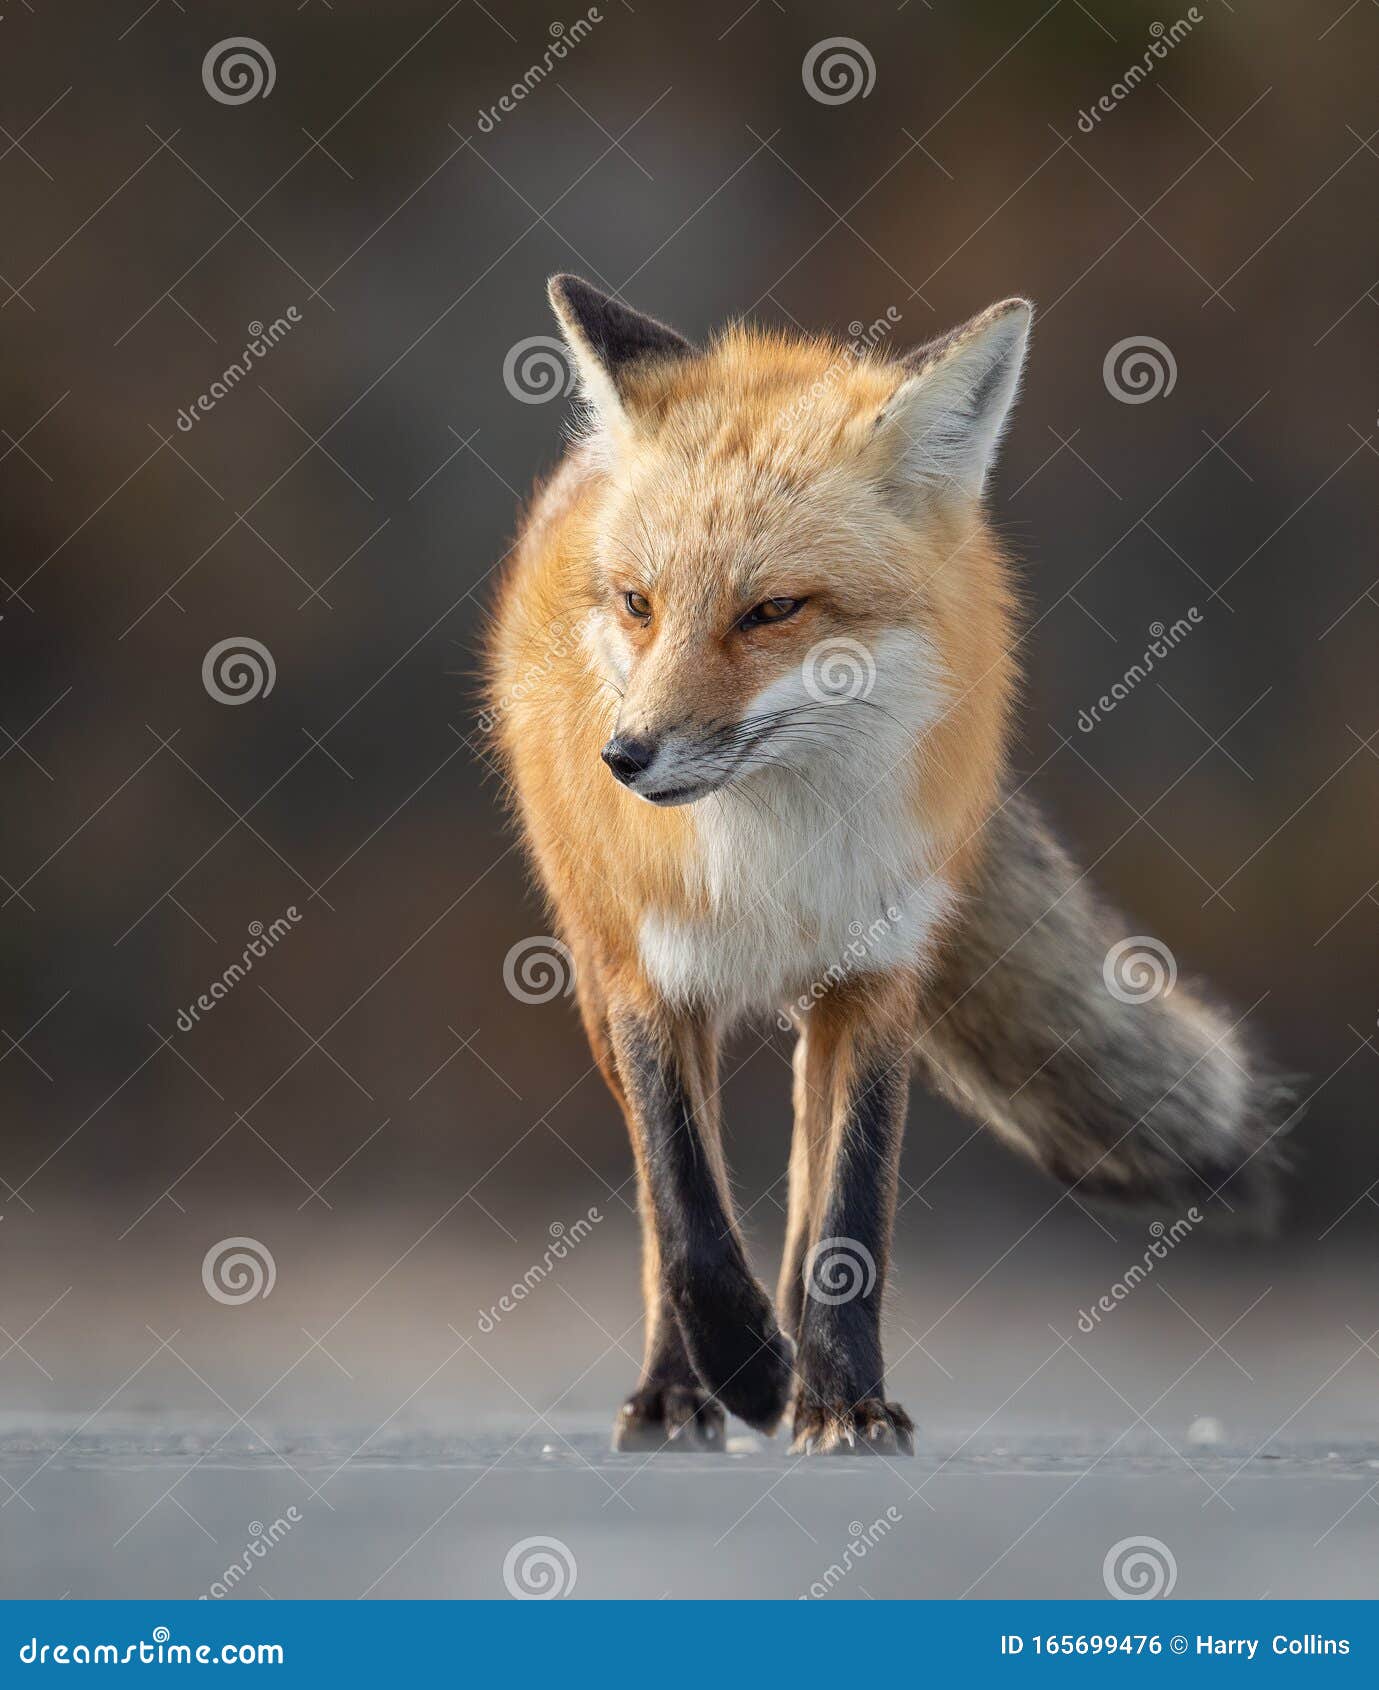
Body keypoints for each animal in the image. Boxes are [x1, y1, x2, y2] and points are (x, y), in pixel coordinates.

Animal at [483, 274, 1295, 1456]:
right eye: (638, 603)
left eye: (771, 610)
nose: (624, 758)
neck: (771, 857)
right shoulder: (642, 975)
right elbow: (684, 1210)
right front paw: (742, 1369)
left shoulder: (878, 974)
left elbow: (848, 1208)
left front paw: (840, 1395)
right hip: (597, 974)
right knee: (665, 1206)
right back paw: (683, 1385)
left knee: (798, 1182)